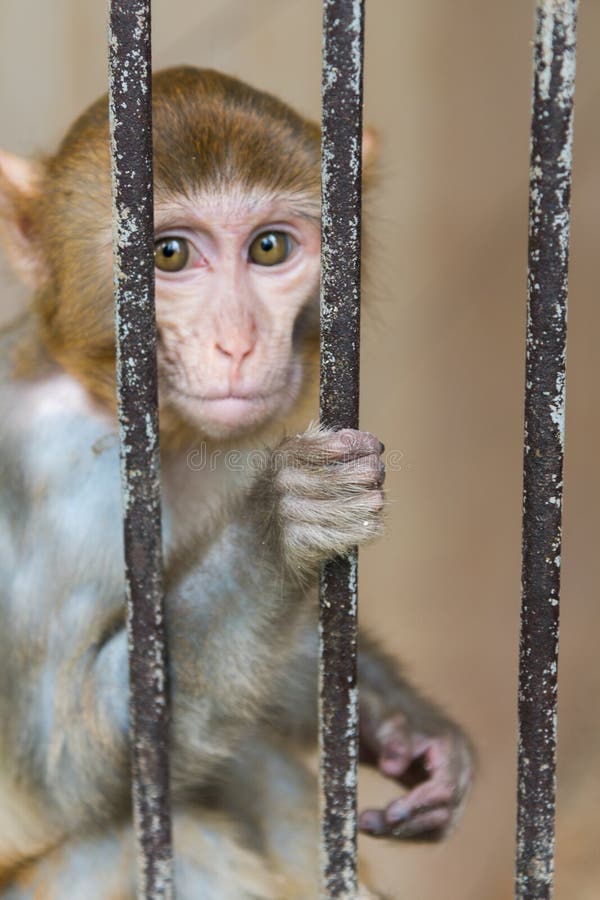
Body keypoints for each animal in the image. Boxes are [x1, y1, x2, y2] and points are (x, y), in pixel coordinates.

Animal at [0, 67, 473, 899]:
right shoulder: (53, 481)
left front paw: (405, 727)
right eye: (168, 255)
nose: (238, 344)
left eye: (270, 247)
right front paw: (281, 527)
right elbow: (71, 761)